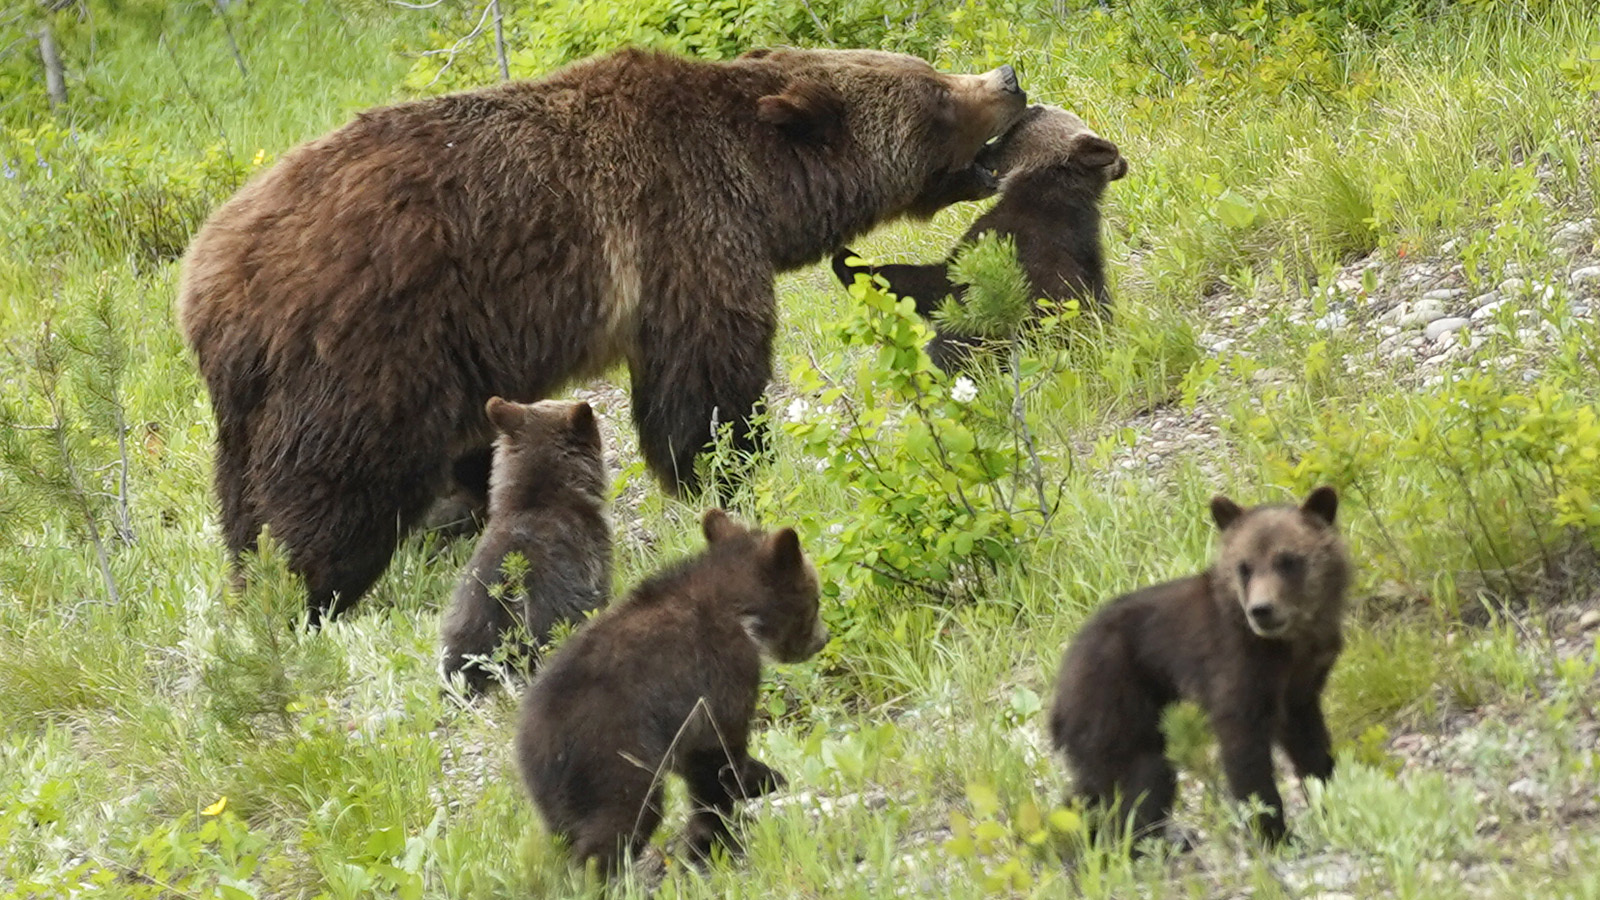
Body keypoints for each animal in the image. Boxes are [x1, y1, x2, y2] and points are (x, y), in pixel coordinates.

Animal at [176, 46, 1028, 624]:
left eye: (930, 70)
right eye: (935, 96)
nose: (1008, 80)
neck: (762, 187)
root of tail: (207, 283)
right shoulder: (685, 233)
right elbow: (705, 382)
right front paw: (729, 469)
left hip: (260, 403)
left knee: (247, 495)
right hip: (367, 348)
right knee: (331, 484)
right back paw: (309, 590)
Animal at [515, 508, 827, 877]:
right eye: (816, 599)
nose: (822, 639)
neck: (738, 612)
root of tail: (536, 744)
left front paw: (764, 778)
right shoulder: (718, 672)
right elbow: (717, 754)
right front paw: (716, 834)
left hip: (554, 794)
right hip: (615, 755)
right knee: (623, 817)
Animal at [1048, 486, 1349, 849]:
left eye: (1288, 560)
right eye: (1244, 567)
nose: (1261, 610)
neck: (1290, 643)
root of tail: (1062, 676)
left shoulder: (1302, 682)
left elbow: (1309, 742)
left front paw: (1331, 798)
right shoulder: (1237, 663)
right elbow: (1244, 747)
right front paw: (1273, 831)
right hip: (1111, 697)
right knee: (1137, 775)